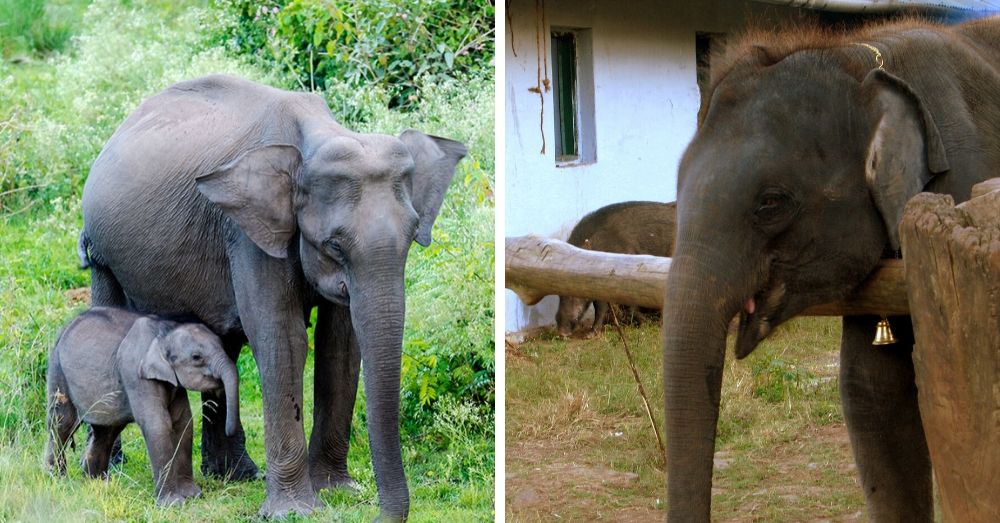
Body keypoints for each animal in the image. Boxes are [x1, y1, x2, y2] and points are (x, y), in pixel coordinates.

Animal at [45, 307, 239, 505]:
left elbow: (183, 423)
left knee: (106, 431)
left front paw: (193, 495)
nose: (229, 429)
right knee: (62, 424)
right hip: (58, 371)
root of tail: (65, 326)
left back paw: (97, 483)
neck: (164, 332)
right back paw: (56, 479)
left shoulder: (172, 382)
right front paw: (173, 504)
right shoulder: (136, 374)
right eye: (196, 357)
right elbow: (158, 425)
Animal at [79, 74, 467, 518]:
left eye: (413, 235)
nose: (377, 513)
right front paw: (296, 511)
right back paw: (112, 469)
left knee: (223, 342)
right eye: (334, 245)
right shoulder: (248, 233)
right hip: (102, 248)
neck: (317, 136)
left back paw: (235, 476)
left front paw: (336, 491)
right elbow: (284, 339)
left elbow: (340, 345)